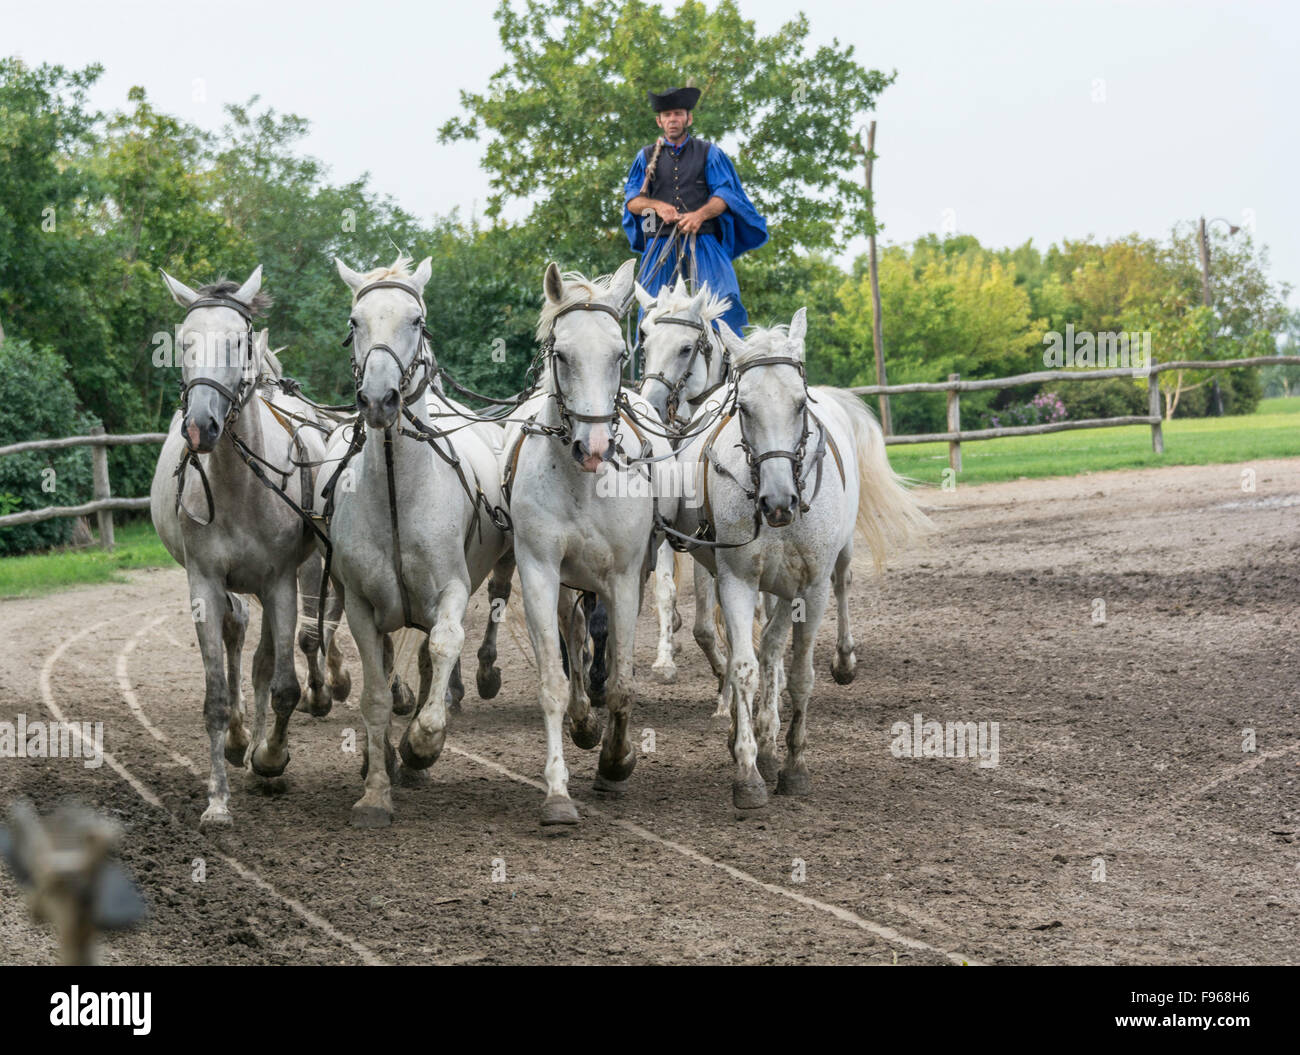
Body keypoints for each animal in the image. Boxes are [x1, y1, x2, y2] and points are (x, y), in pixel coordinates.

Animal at [150, 266, 346, 830]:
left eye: (239, 341)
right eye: (184, 343)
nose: (200, 426)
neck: (239, 484)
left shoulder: (281, 580)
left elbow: (282, 683)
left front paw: (272, 757)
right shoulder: (205, 582)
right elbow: (217, 695)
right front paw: (217, 799)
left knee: (267, 656)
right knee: (238, 635)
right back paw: (240, 739)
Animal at [318, 255, 512, 828]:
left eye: (416, 321)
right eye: (354, 322)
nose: (380, 399)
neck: (396, 490)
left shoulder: (450, 590)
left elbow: (444, 646)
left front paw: (423, 745)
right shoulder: (360, 603)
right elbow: (376, 695)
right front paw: (375, 791)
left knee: (431, 656)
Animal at [501, 260, 676, 825]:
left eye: (620, 354)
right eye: (561, 354)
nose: (594, 446)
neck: (581, 483)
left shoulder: (623, 576)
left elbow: (621, 681)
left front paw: (616, 763)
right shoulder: (539, 571)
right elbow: (555, 680)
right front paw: (558, 792)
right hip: (562, 585)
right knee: (572, 640)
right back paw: (582, 720)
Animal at [669, 309, 932, 809]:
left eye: (797, 404)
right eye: (744, 408)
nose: (777, 502)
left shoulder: (811, 588)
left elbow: (800, 676)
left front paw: (794, 766)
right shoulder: (737, 580)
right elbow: (746, 667)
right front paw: (749, 768)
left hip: (836, 560)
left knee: (841, 588)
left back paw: (843, 662)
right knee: (766, 645)